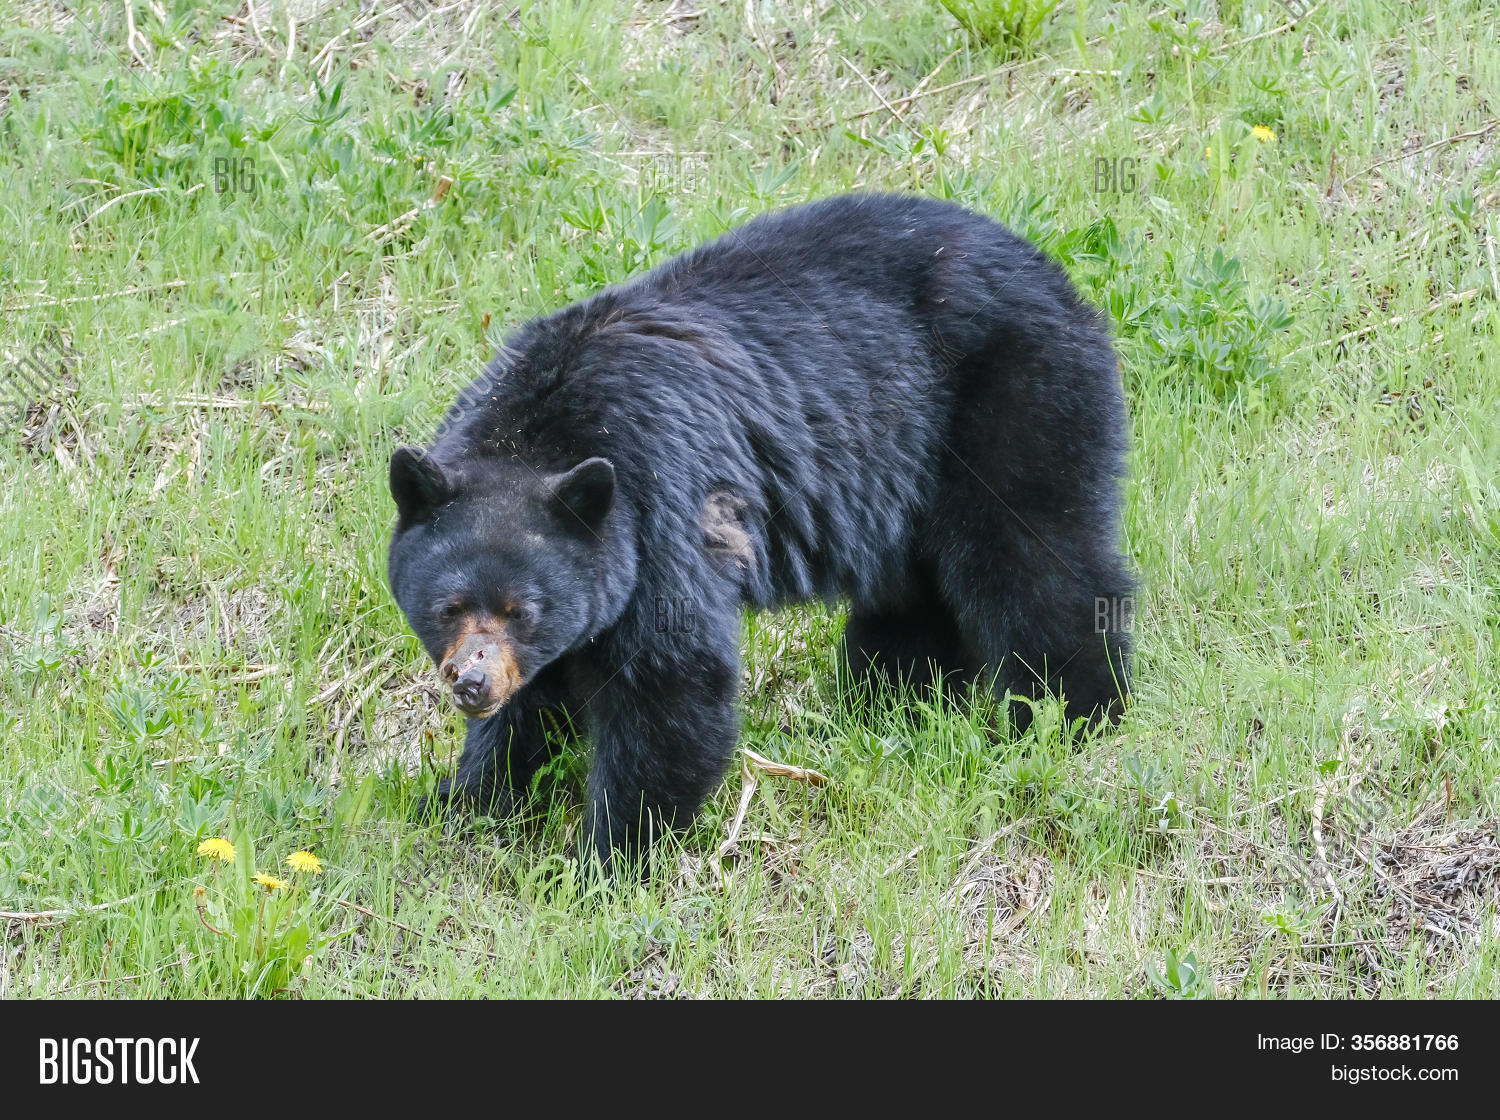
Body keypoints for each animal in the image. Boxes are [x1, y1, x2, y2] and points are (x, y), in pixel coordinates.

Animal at [386, 193, 1133, 875]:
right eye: (448, 606)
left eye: (524, 610)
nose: (472, 683)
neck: (538, 431)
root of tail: (1055, 271)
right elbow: (536, 702)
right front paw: (460, 800)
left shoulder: (659, 508)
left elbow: (673, 681)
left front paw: (608, 859)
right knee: (916, 597)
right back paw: (889, 703)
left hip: (1015, 401)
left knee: (1036, 563)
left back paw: (1071, 714)